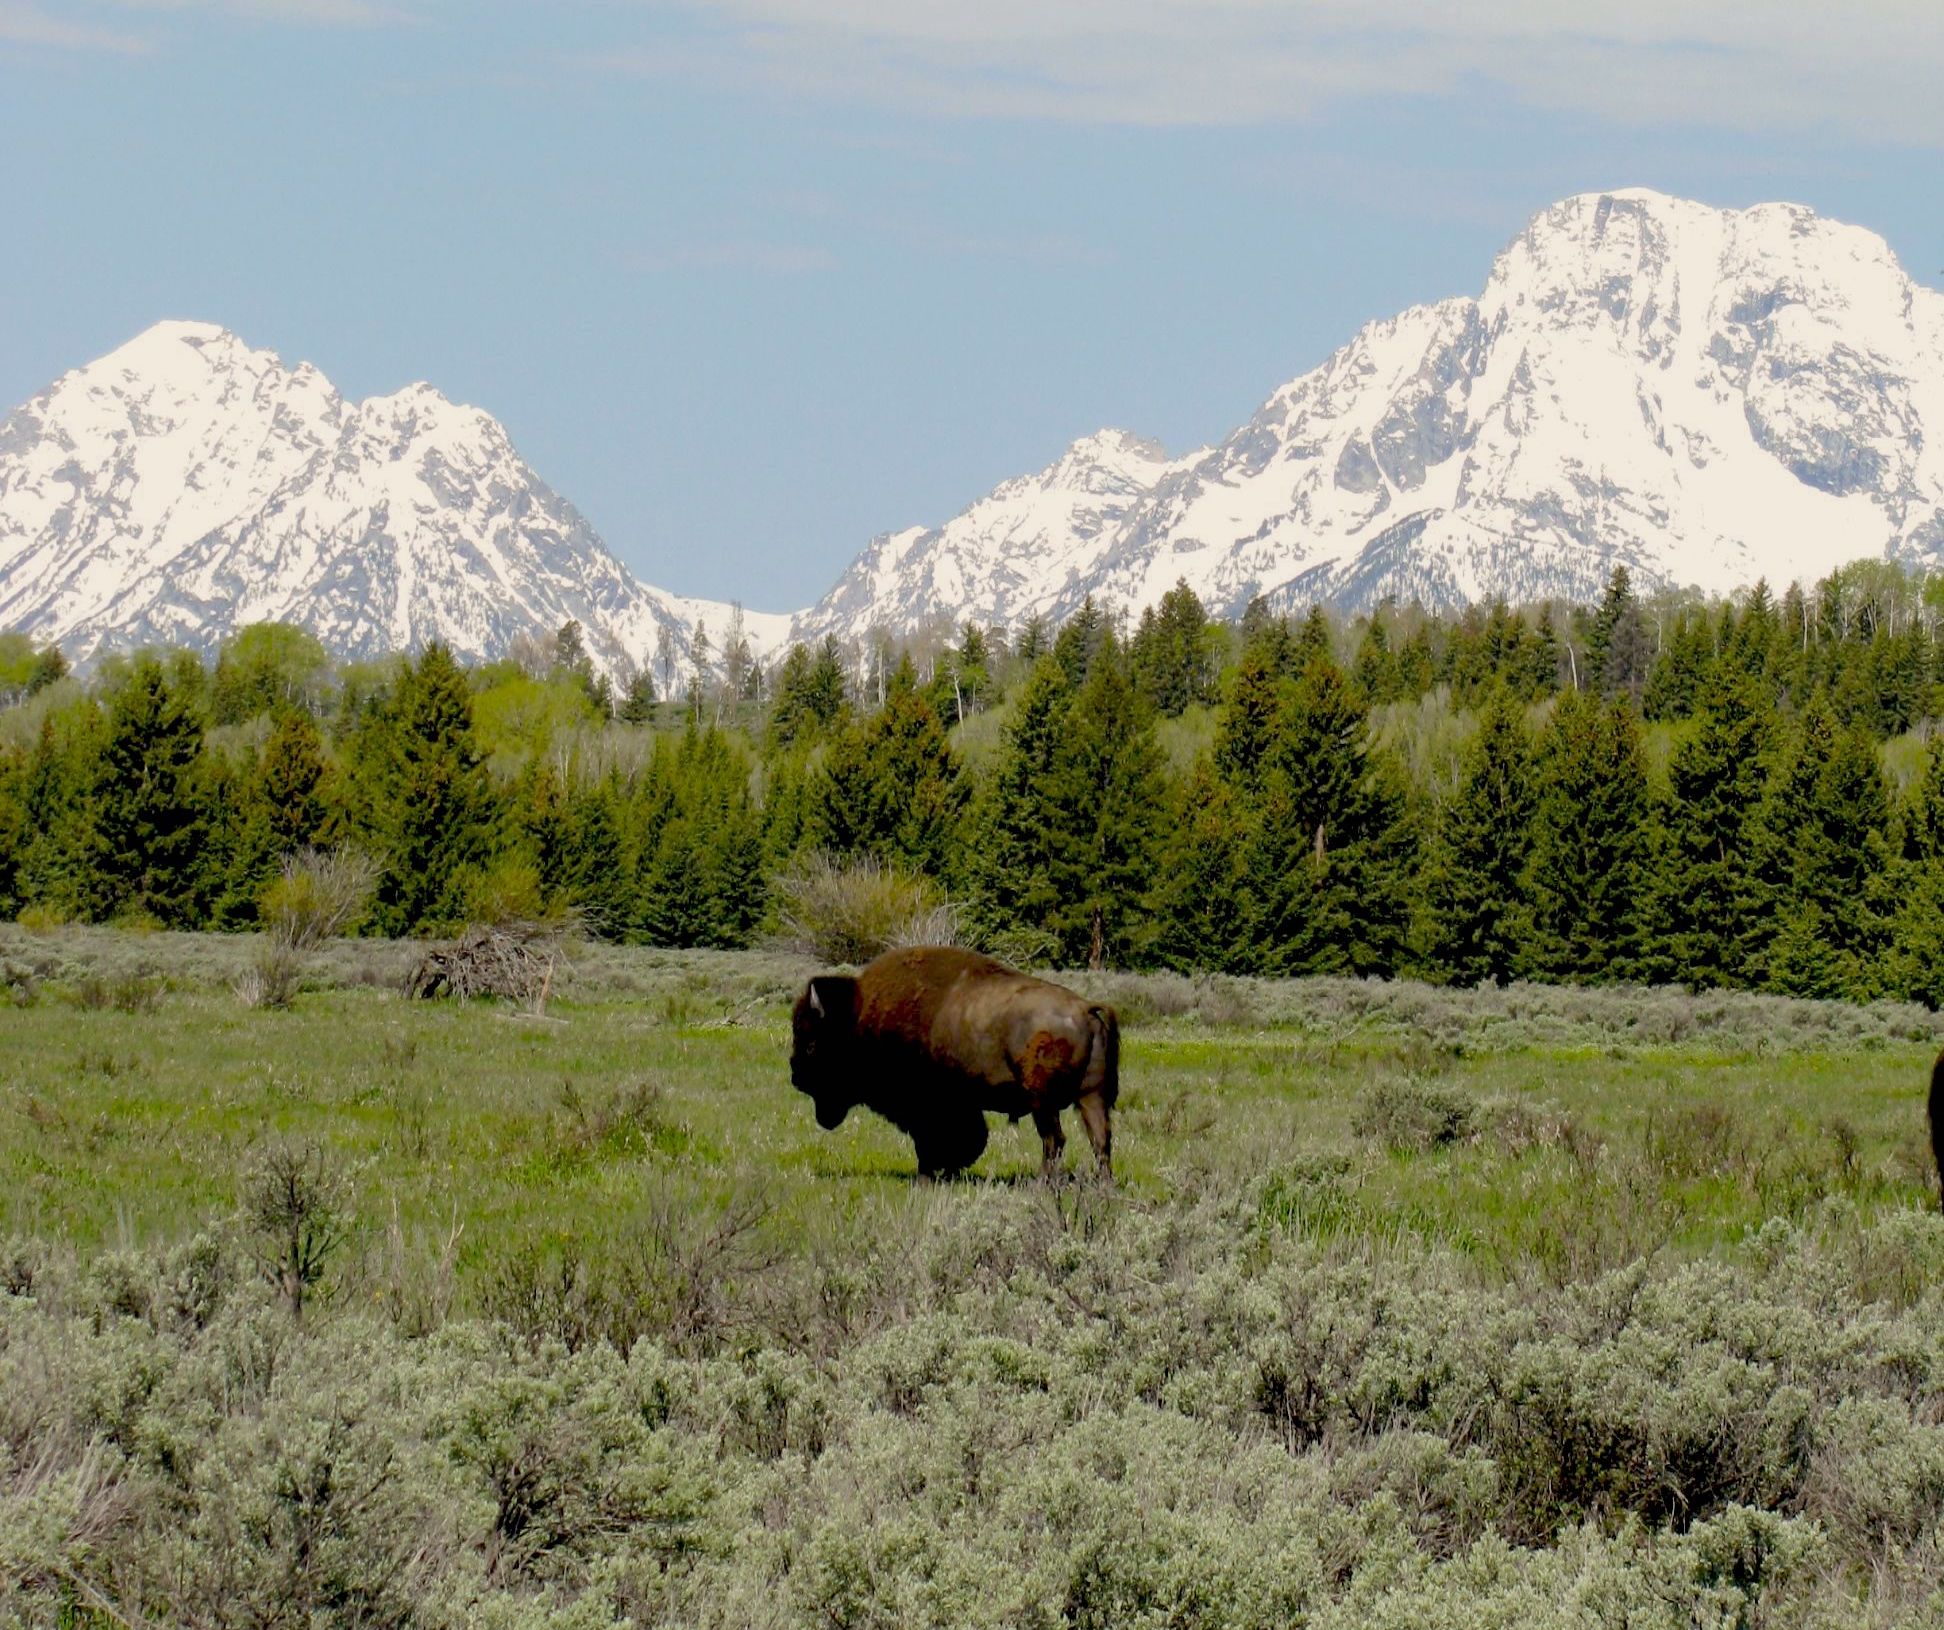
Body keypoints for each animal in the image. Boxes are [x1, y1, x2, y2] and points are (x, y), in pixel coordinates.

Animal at [791, 946, 1119, 1181]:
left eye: (811, 1043)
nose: (795, 1076)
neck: (858, 1018)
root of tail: (1085, 1008)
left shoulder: (930, 1107)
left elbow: (937, 1141)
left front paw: (927, 1176)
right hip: (1090, 1096)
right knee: (1100, 1140)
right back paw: (1103, 1187)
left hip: (1043, 1101)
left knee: (1055, 1140)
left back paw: (1042, 1184)